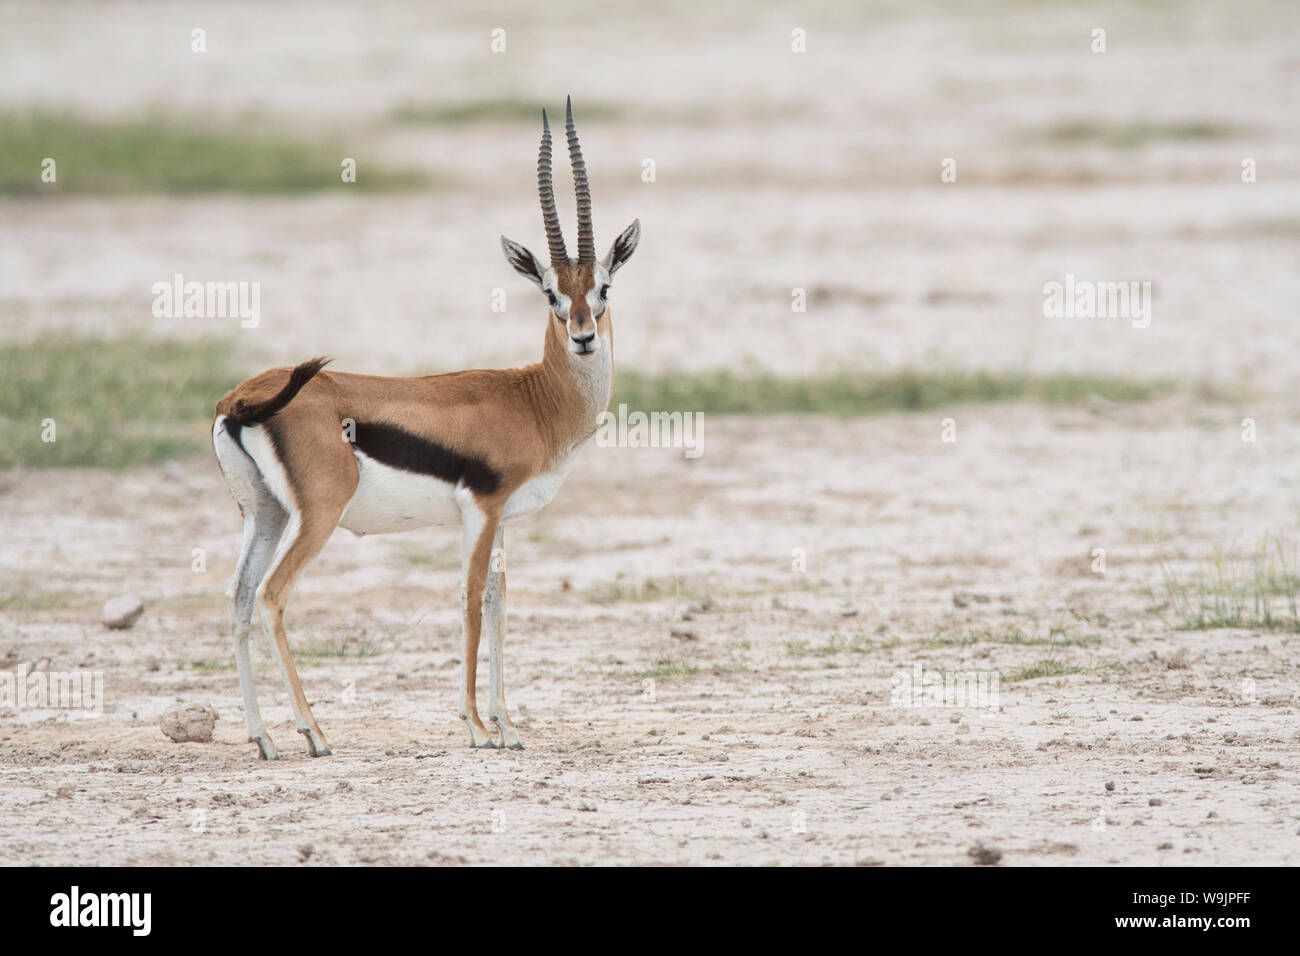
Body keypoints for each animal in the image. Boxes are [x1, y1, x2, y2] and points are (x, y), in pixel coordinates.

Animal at [211, 98, 639, 758]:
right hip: (317, 515)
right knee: (273, 594)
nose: (584, 337)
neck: (533, 398)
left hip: (265, 513)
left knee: (237, 598)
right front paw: (478, 728)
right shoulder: (481, 510)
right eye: (550, 293)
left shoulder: (501, 517)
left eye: (604, 288)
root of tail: (241, 400)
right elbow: (469, 602)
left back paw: (264, 739)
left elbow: (499, 602)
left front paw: (508, 727)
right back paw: (315, 734)